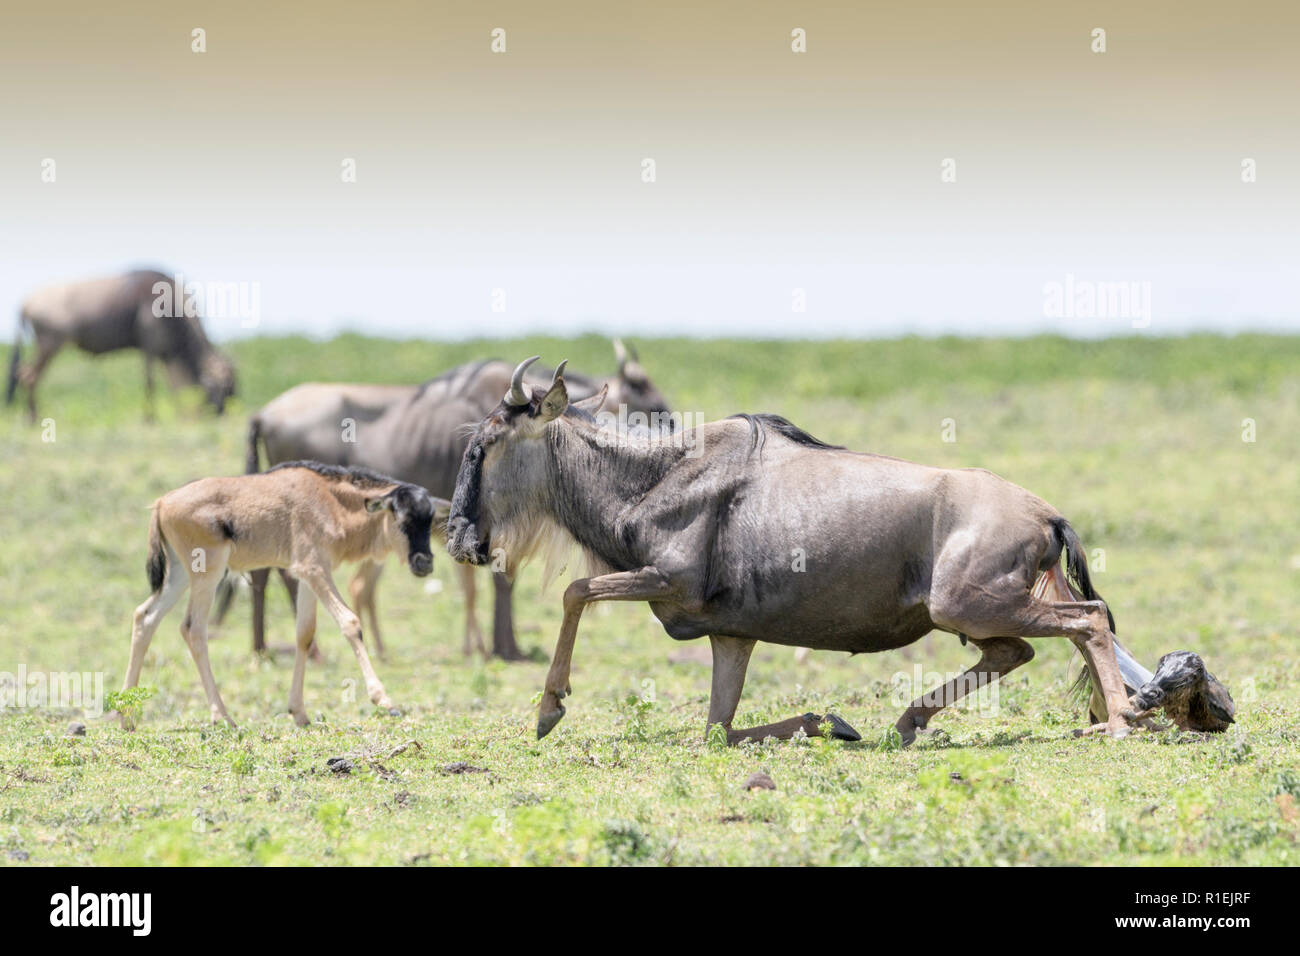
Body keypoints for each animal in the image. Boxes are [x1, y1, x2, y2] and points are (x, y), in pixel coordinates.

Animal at [120, 461, 448, 728]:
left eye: (429, 519)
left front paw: (299, 712)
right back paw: (222, 717)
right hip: (208, 574)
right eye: (401, 519)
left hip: (179, 575)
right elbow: (350, 623)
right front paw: (384, 700)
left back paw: (126, 716)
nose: (424, 563)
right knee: (193, 629)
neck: (331, 501)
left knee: (145, 617)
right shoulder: (315, 568)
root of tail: (162, 503)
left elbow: (305, 634)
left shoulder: (306, 575)